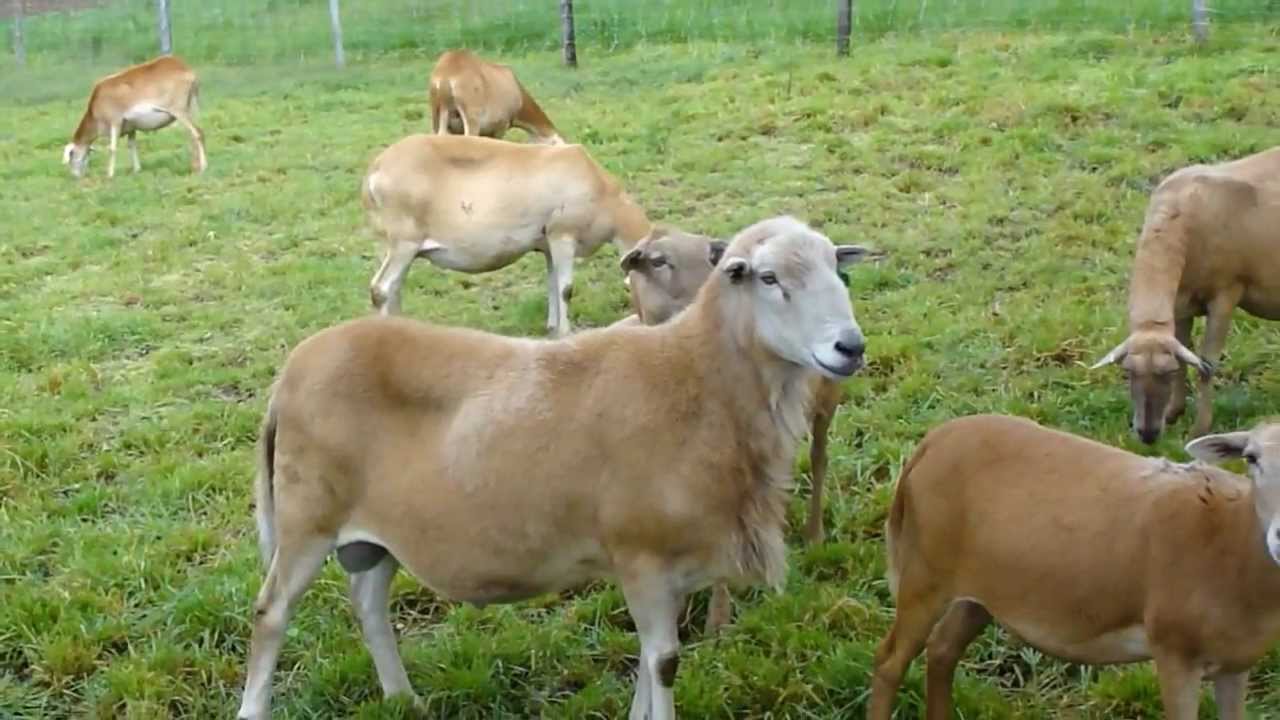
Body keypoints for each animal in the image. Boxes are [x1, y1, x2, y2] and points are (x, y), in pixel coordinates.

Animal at [361, 133, 652, 336]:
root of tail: (375, 170)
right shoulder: (562, 236)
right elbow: (566, 289)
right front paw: (565, 332)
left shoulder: (547, 244)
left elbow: (552, 284)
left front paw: (551, 328)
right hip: (404, 244)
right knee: (381, 288)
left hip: (393, 246)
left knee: (394, 288)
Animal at [619, 226, 870, 633]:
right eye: (656, 260)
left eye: (711, 258)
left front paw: (717, 623)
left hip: (827, 399)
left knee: (819, 458)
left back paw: (814, 534)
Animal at [868, 413, 1280, 720]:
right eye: (1251, 458)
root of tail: (931, 442)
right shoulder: (1175, 651)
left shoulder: (1236, 664)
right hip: (924, 573)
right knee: (890, 661)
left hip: (983, 591)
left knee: (942, 651)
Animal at [1092, 146, 1280, 443]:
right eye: (1128, 372)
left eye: (1166, 374)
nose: (1148, 434)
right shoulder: (1180, 304)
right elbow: (1185, 354)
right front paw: (1174, 412)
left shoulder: (1226, 294)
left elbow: (1206, 365)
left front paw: (1199, 430)